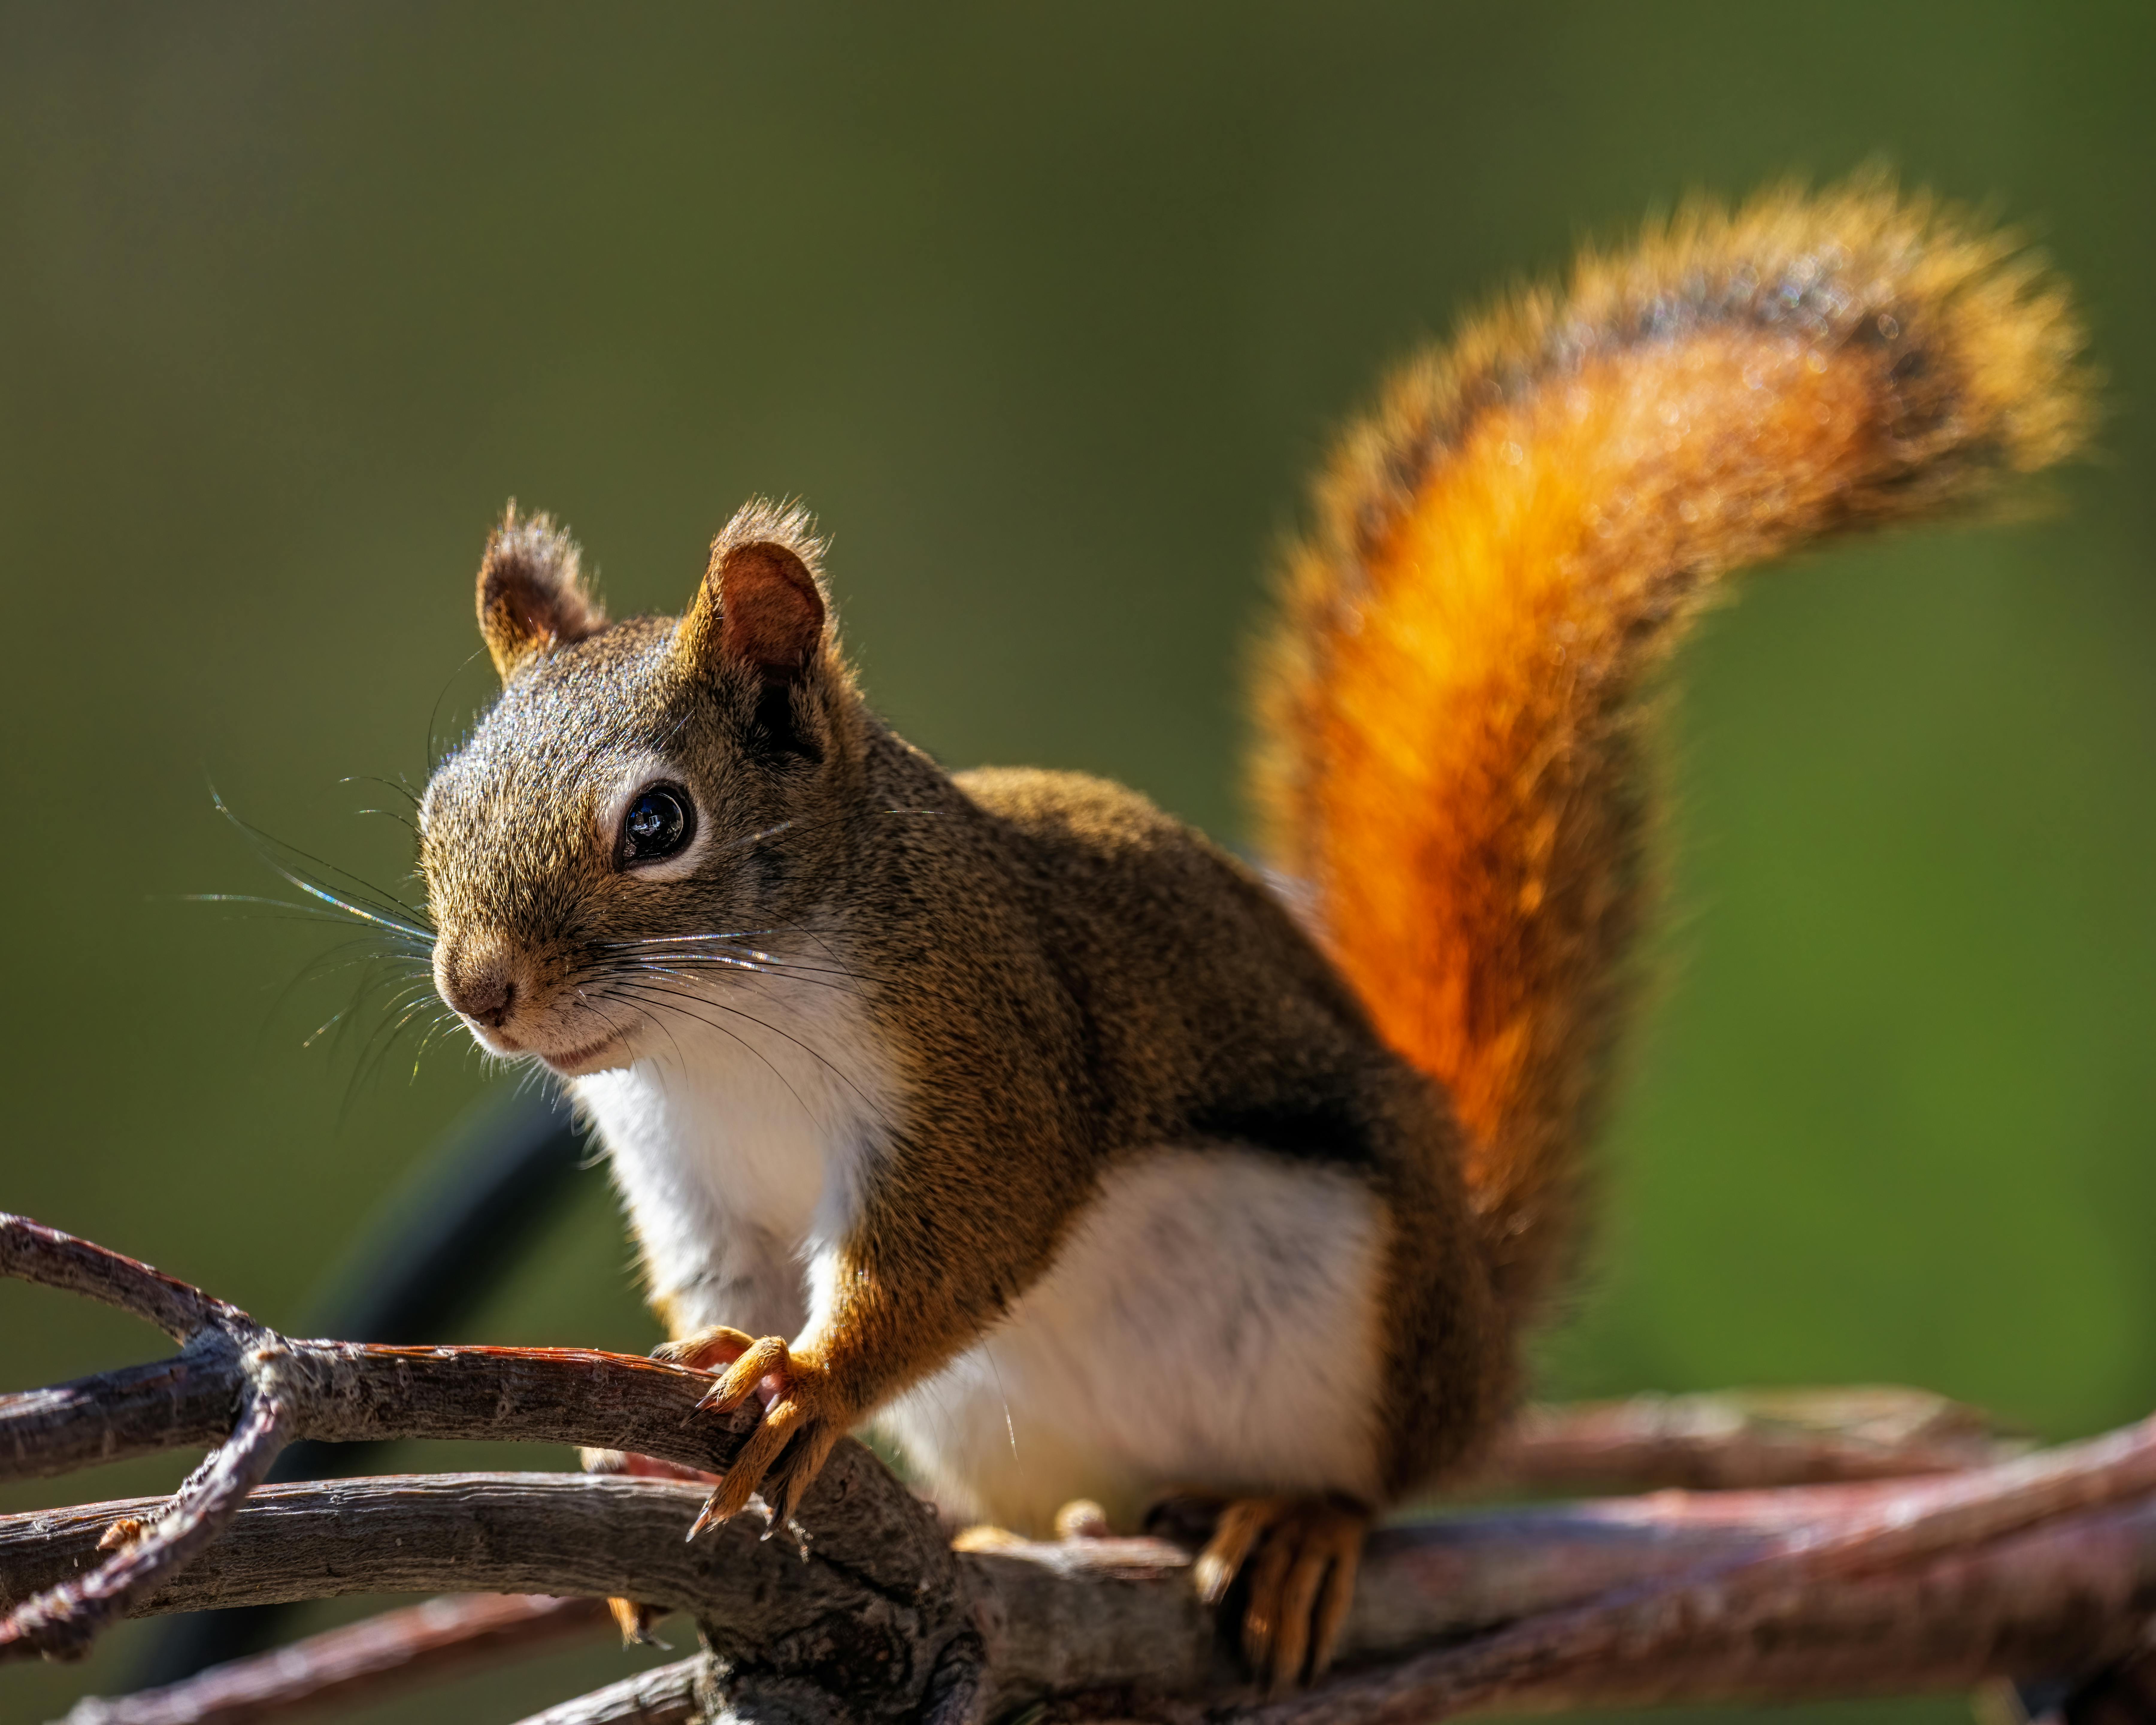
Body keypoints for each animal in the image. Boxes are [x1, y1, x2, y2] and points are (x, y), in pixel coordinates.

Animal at [415, 180, 2088, 1689]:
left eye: (658, 826)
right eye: (436, 808)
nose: (481, 991)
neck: (718, 1037)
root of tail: (1478, 1327)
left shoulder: (992, 1049)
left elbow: (962, 1241)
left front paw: (807, 1381)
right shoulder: (695, 1181)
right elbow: (722, 1291)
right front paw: (652, 1442)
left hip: (1362, 1325)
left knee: (1371, 1479)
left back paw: (1293, 1529)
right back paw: (1031, 1540)